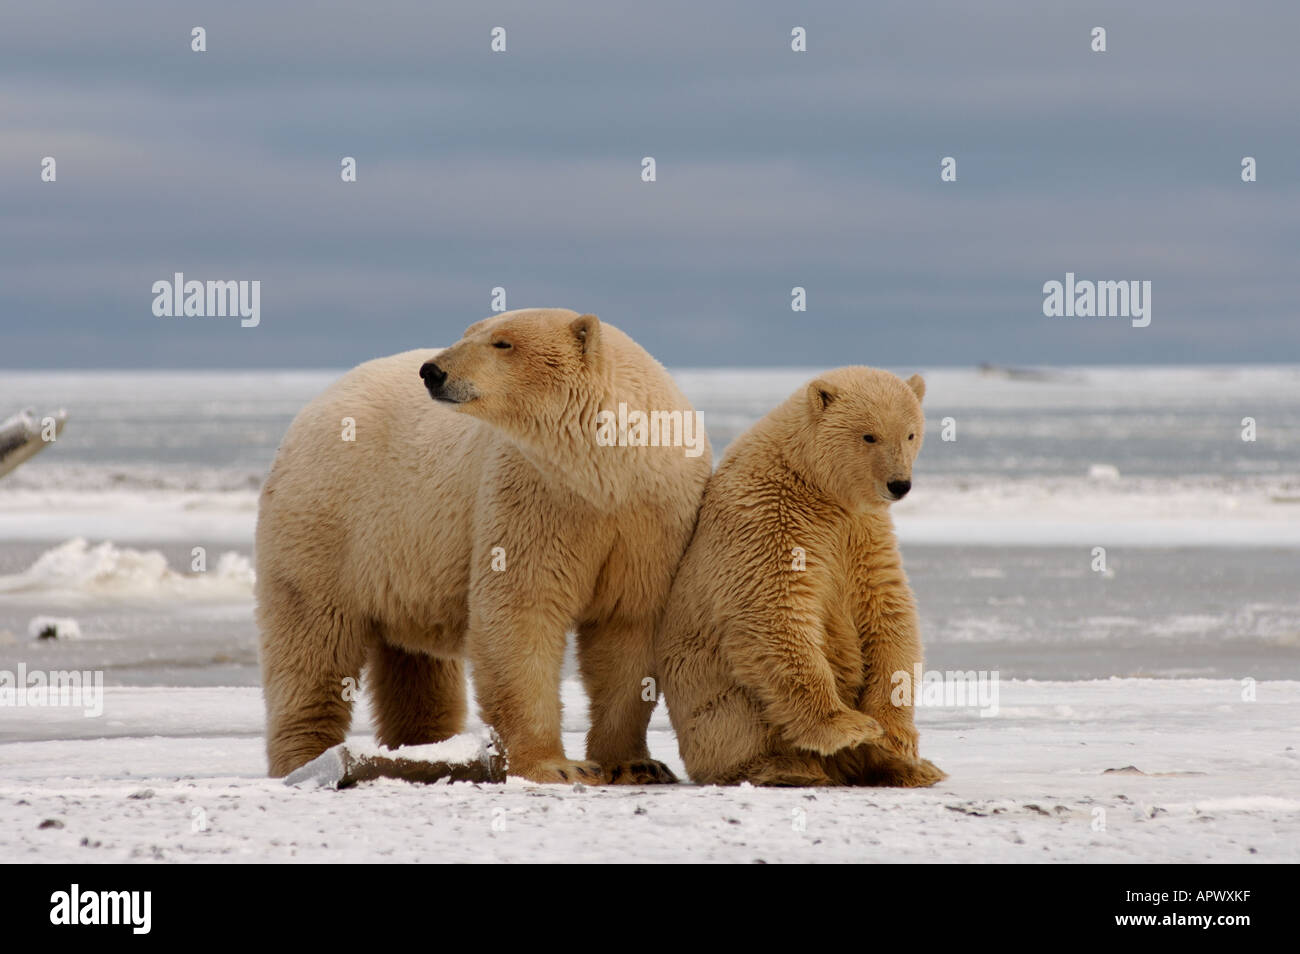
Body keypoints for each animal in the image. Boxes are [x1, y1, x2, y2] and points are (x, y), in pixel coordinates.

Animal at [256, 308, 711, 784]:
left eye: (502, 343)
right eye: (468, 334)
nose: (432, 371)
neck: (607, 474)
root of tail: (316, 403)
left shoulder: (648, 521)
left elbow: (628, 628)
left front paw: (636, 764)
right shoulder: (533, 497)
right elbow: (520, 614)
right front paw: (556, 766)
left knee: (415, 666)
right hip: (327, 526)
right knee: (312, 643)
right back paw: (308, 759)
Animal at [655, 366, 945, 787]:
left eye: (910, 433)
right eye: (868, 435)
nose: (899, 484)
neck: (815, 485)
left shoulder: (863, 534)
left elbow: (887, 610)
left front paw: (895, 736)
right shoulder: (772, 520)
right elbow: (775, 614)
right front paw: (850, 726)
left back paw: (914, 768)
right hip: (711, 696)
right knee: (742, 721)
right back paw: (786, 768)